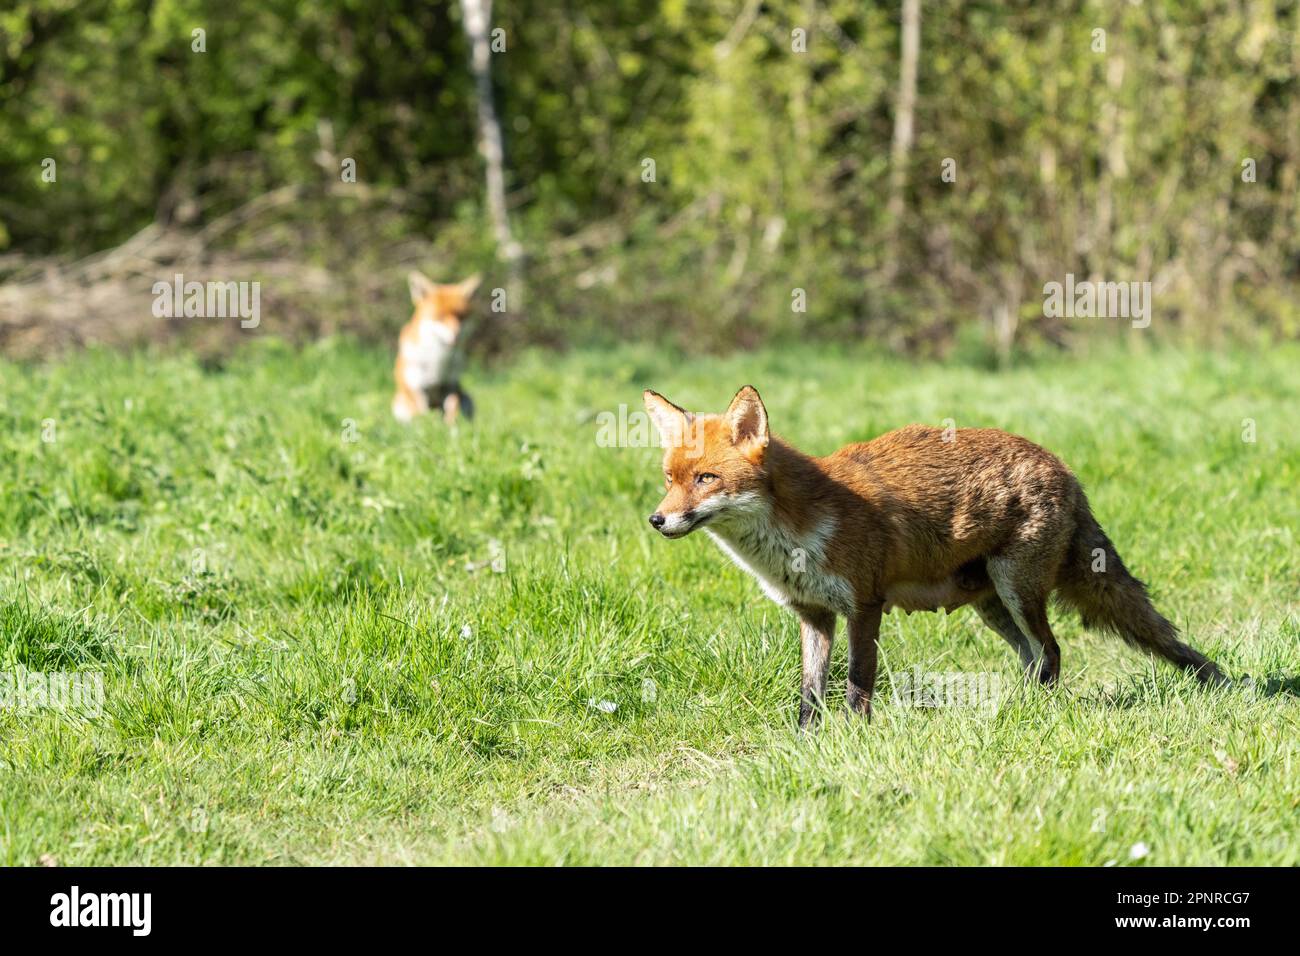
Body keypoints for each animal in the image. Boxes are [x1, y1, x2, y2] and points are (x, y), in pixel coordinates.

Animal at [392, 271, 480, 424]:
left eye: (461, 317)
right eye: (440, 317)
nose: (456, 334)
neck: (438, 362)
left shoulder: (450, 385)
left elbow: (453, 407)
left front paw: (451, 425)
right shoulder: (418, 388)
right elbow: (423, 415)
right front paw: (429, 426)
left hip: (468, 398)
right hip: (400, 404)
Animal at [643, 385, 1227, 729]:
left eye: (706, 479)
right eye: (670, 480)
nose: (657, 520)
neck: (794, 536)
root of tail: (1064, 466)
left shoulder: (864, 605)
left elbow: (858, 682)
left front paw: (855, 738)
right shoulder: (814, 614)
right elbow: (811, 694)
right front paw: (807, 743)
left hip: (1017, 590)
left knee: (1053, 650)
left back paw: (1033, 711)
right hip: (992, 606)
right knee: (1033, 656)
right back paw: (1017, 707)